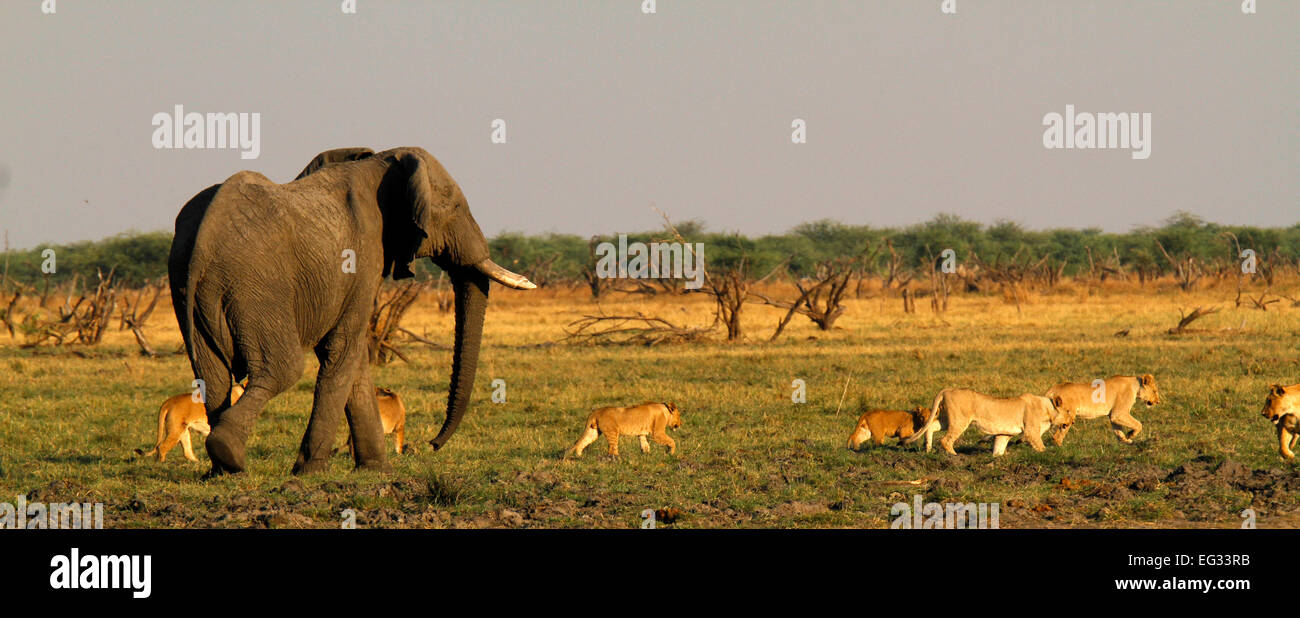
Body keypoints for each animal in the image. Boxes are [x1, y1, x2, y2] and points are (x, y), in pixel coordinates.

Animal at [168, 146, 535, 476]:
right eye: (456, 207)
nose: (432, 444)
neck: (381, 162)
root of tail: (202, 240)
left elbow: (353, 359)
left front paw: (377, 471)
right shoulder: (362, 256)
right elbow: (343, 347)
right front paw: (311, 471)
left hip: (193, 291)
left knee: (213, 377)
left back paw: (222, 472)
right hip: (257, 286)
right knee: (283, 369)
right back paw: (229, 454)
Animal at [902, 389, 1073, 456]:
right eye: (1068, 411)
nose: (1072, 420)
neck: (1048, 408)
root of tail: (947, 390)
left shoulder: (1004, 433)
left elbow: (999, 447)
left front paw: (999, 457)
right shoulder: (1031, 430)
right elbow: (1041, 446)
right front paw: (1050, 453)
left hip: (947, 419)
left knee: (930, 426)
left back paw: (928, 449)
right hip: (960, 420)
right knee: (946, 440)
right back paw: (954, 455)